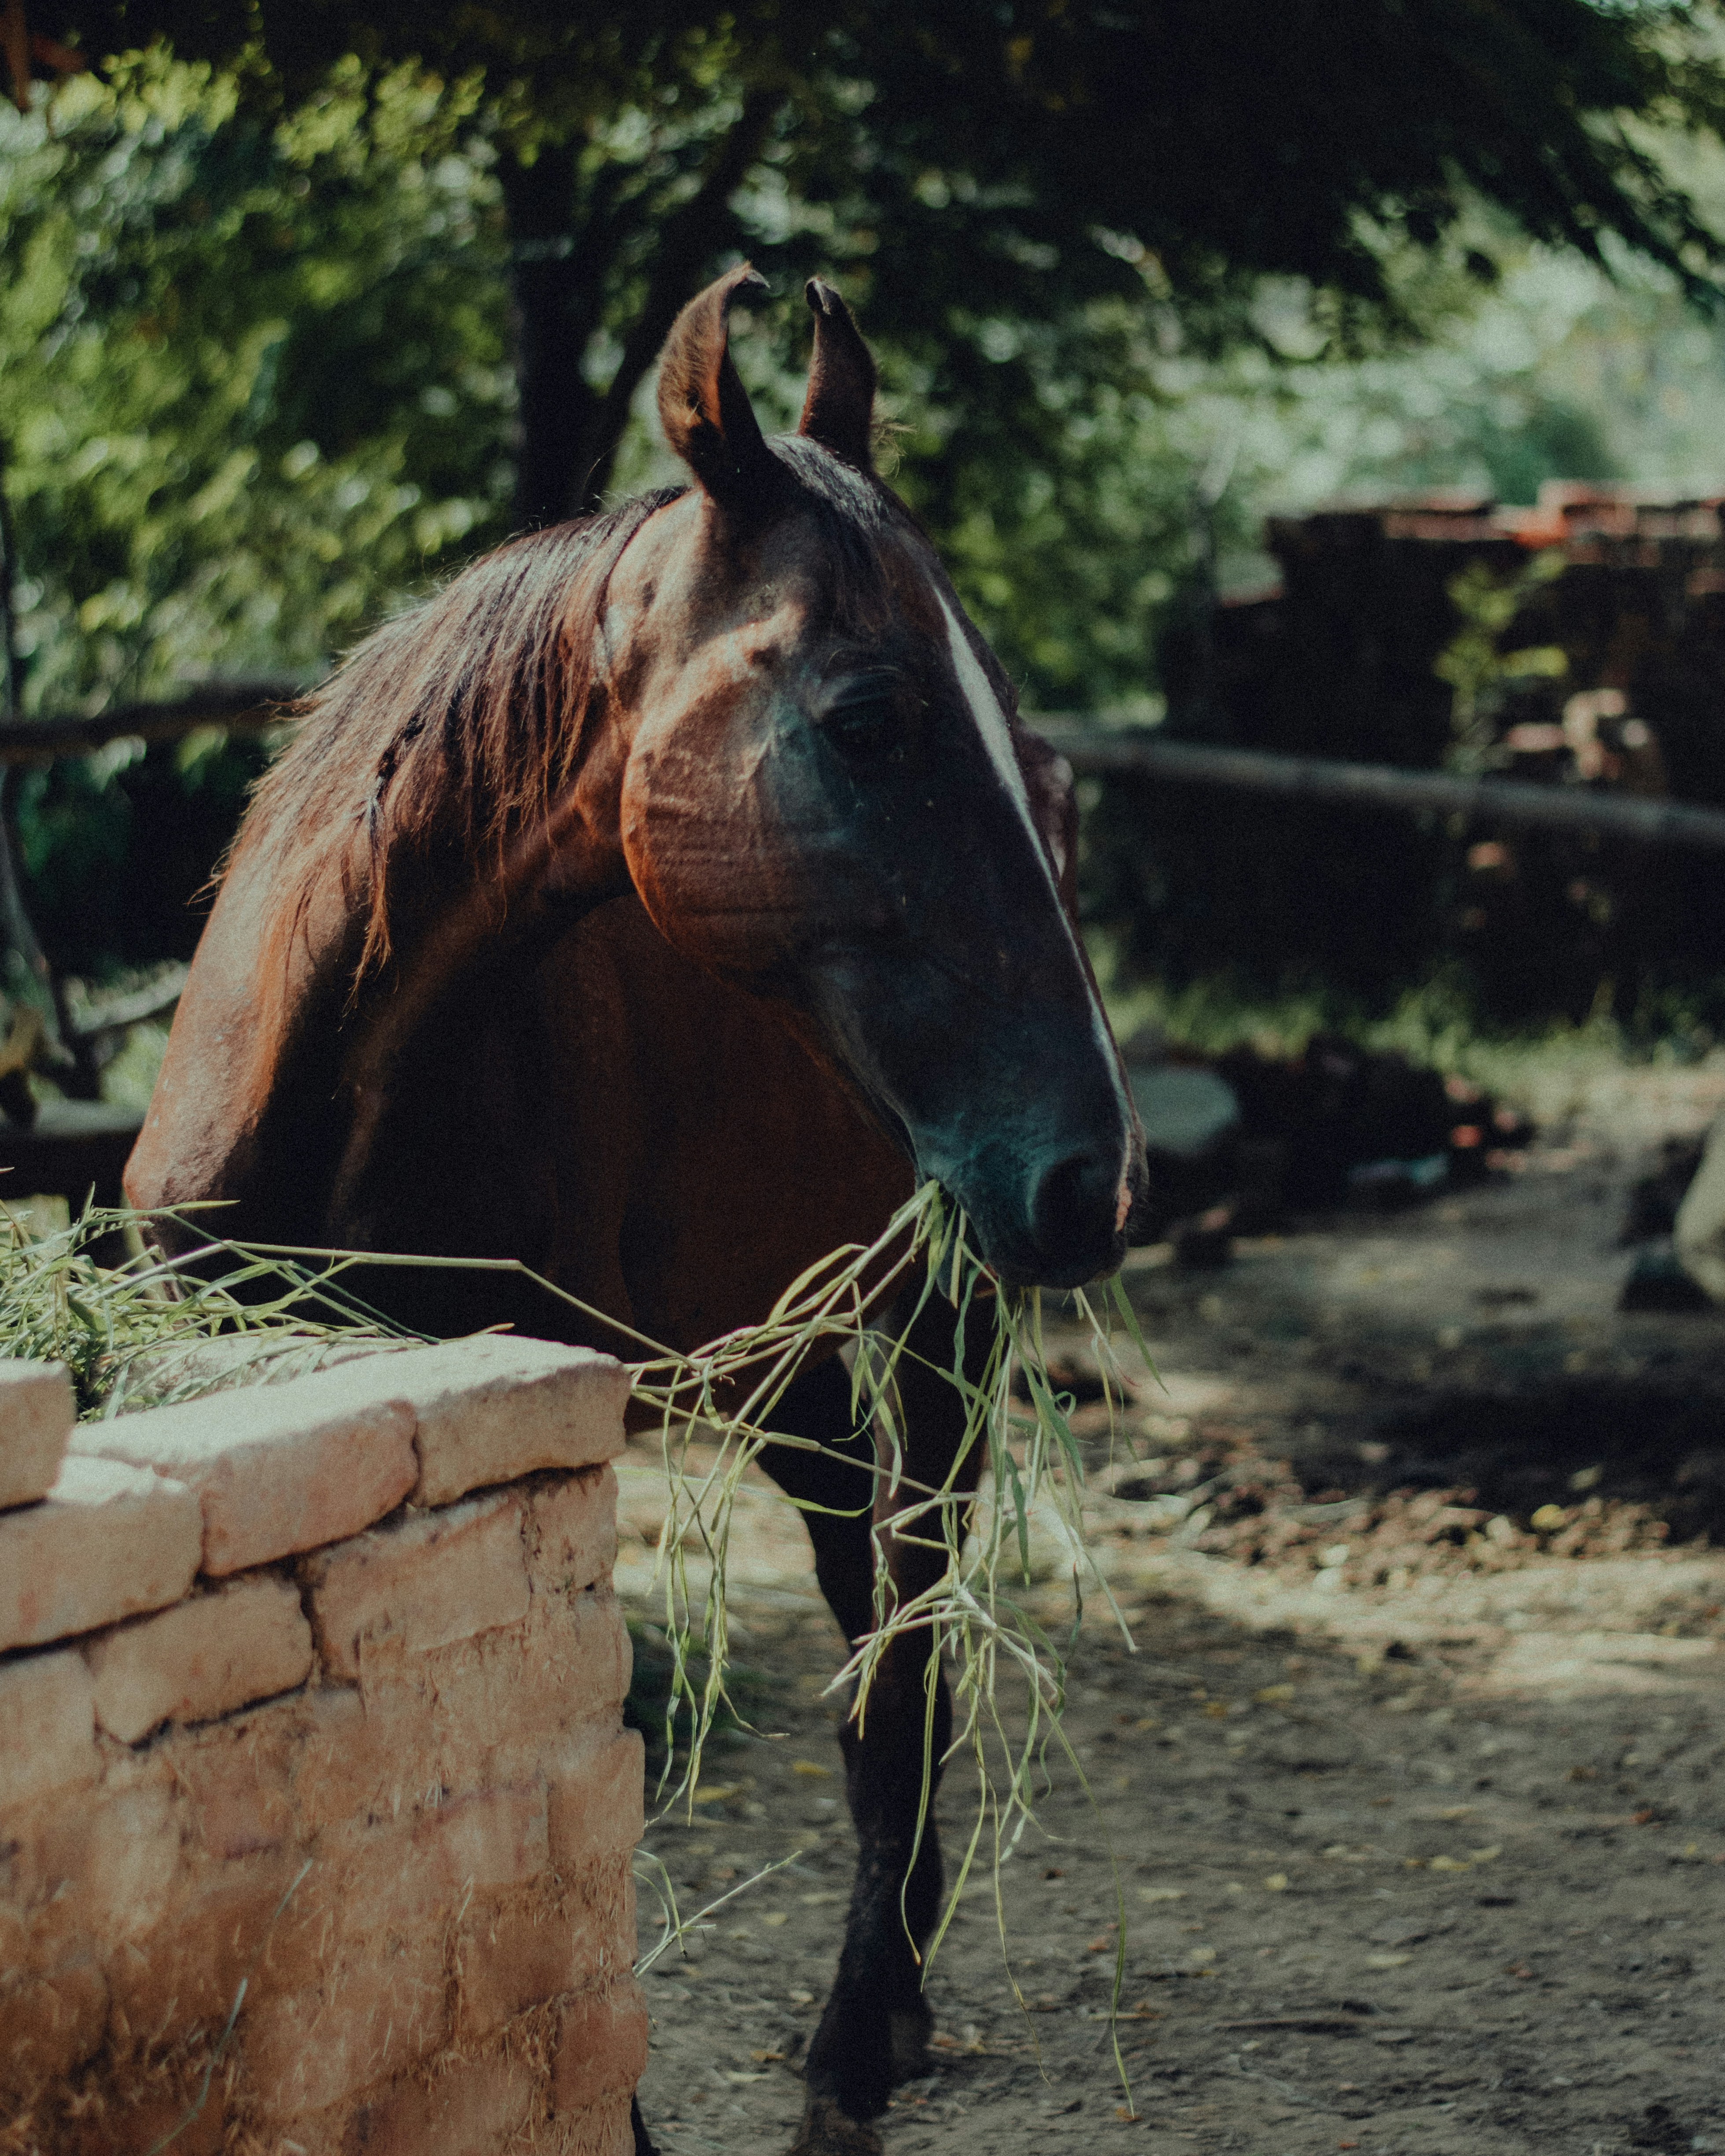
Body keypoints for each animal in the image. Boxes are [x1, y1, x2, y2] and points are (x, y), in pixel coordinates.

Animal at [127, 264, 1149, 2156]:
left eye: (1033, 775)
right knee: (865, 1623)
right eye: (869, 718)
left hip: (936, 1335)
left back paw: (856, 2037)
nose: (1091, 1176)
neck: (340, 1074)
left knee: (909, 1635)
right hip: (795, 1363)